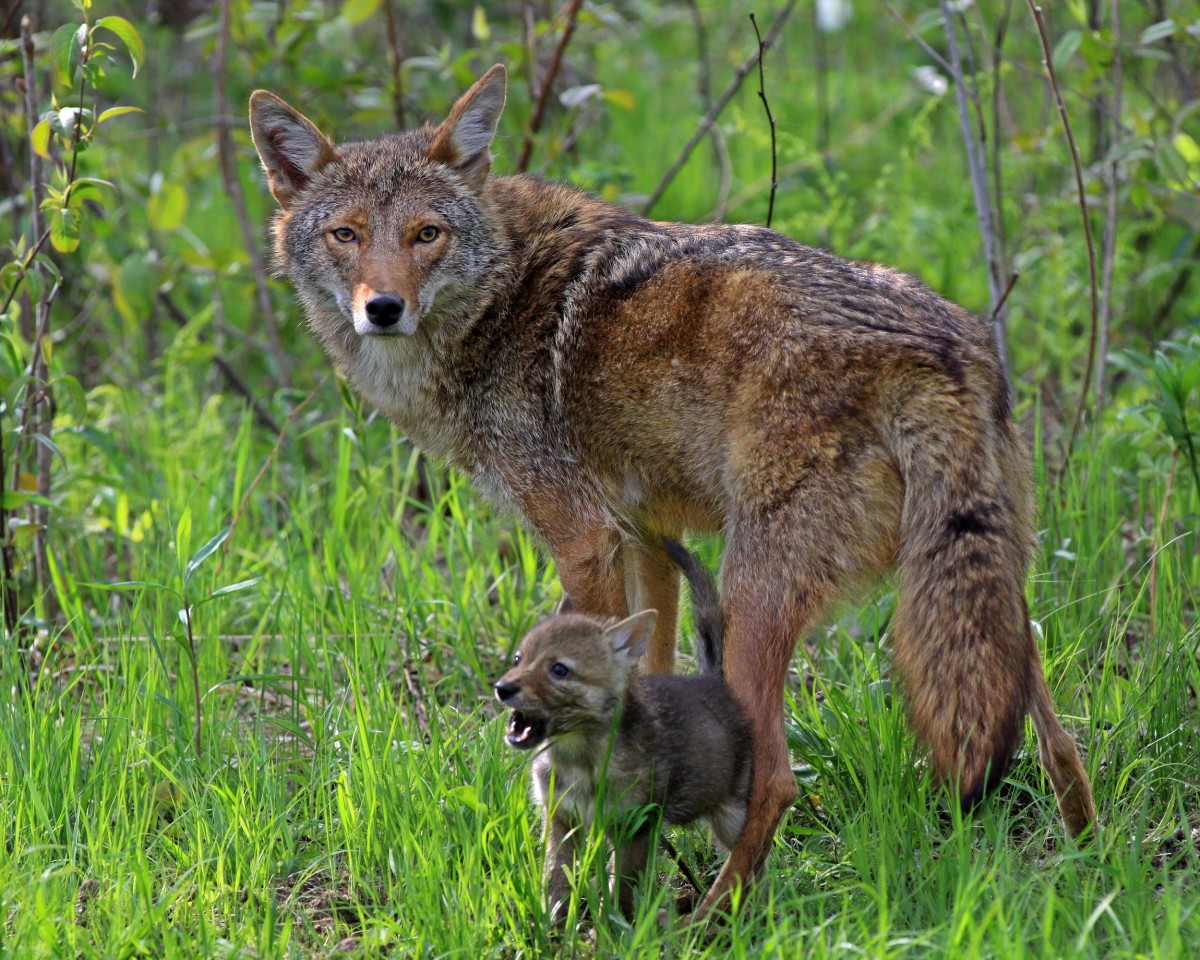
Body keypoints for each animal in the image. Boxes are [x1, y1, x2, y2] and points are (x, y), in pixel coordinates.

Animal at [494, 538, 750, 921]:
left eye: (559, 670)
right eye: (518, 659)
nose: (502, 688)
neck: (578, 759)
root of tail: (711, 683)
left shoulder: (637, 826)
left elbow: (621, 893)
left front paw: (614, 928)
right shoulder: (561, 818)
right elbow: (556, 880)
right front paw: (554, 925)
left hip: (731, 817)